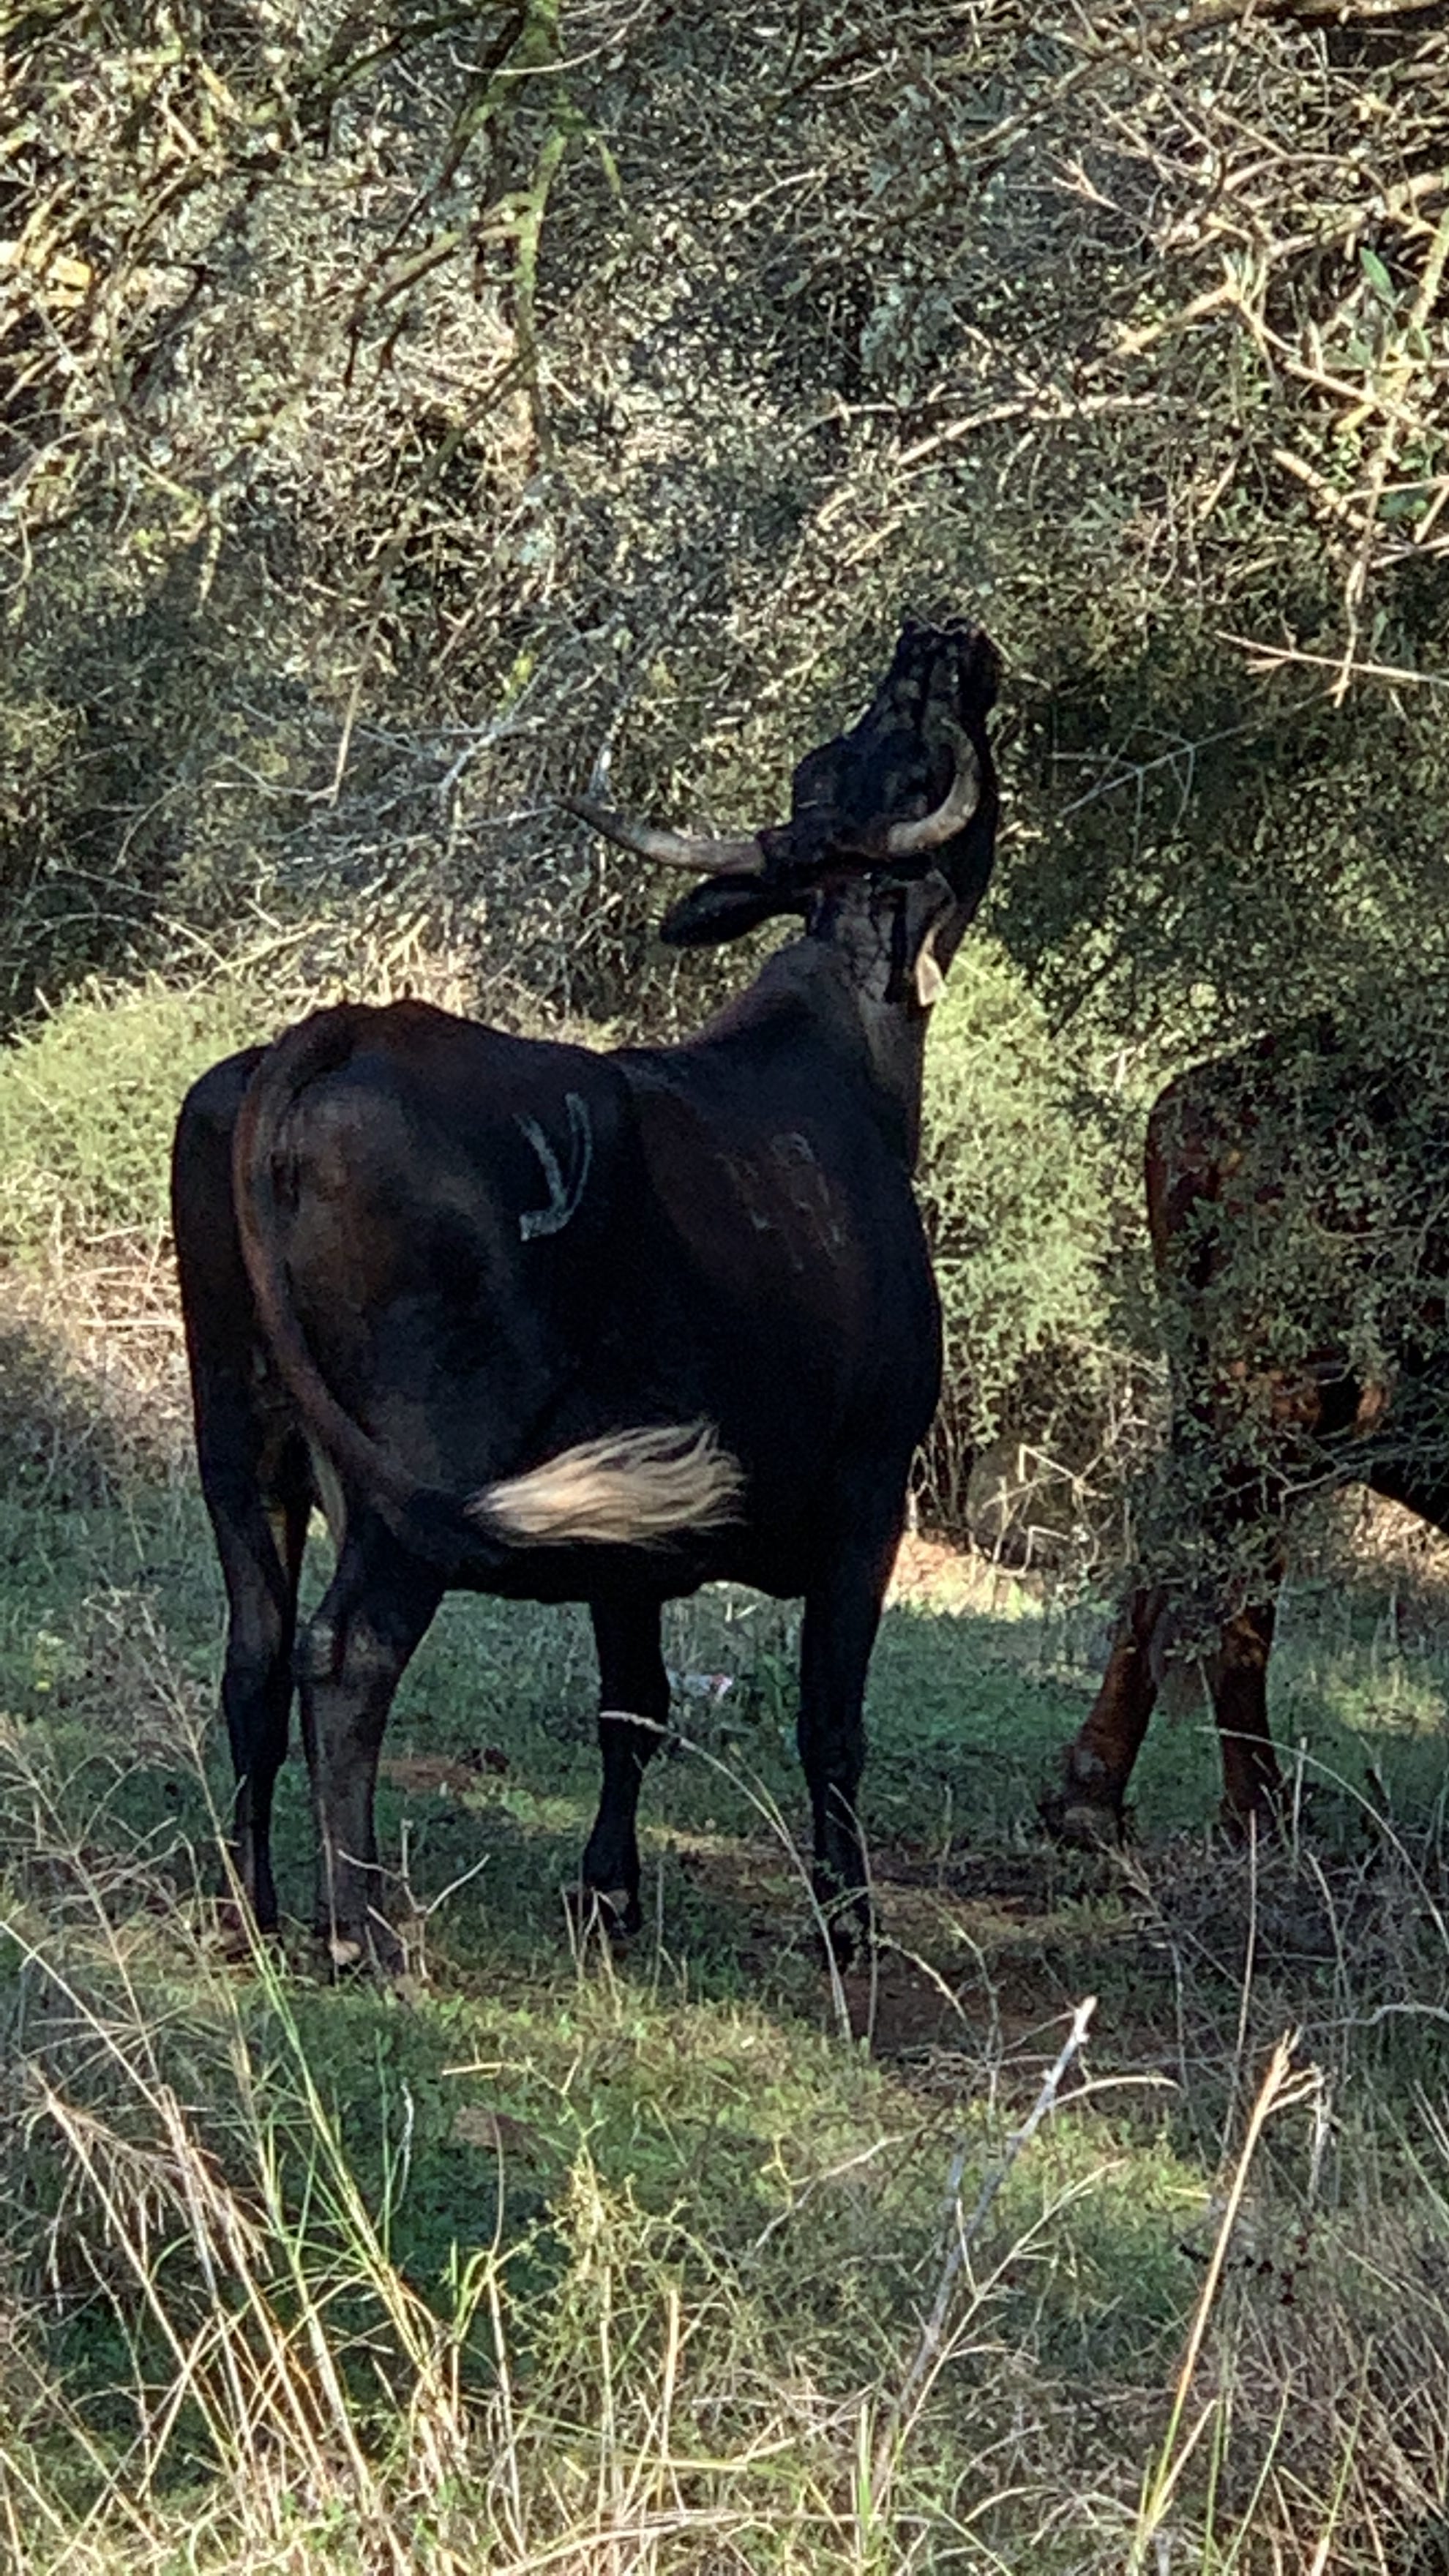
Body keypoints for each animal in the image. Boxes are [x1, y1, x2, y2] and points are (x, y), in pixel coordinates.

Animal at [173, 619, 1001, 1970]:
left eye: (864, 749)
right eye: (914, 755)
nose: (939, 639)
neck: (845, 1063)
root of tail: (343, 1028)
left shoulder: (632, 1535)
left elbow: (634, 1711)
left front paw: (610, 1897)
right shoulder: (872, 1490)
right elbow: (831, 1721)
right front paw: (850, 1921)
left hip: (240, 1435)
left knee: (250, 1655)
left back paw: (258, 1912)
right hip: (419, 1465)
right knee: (344, 1657)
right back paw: (362, 1932)